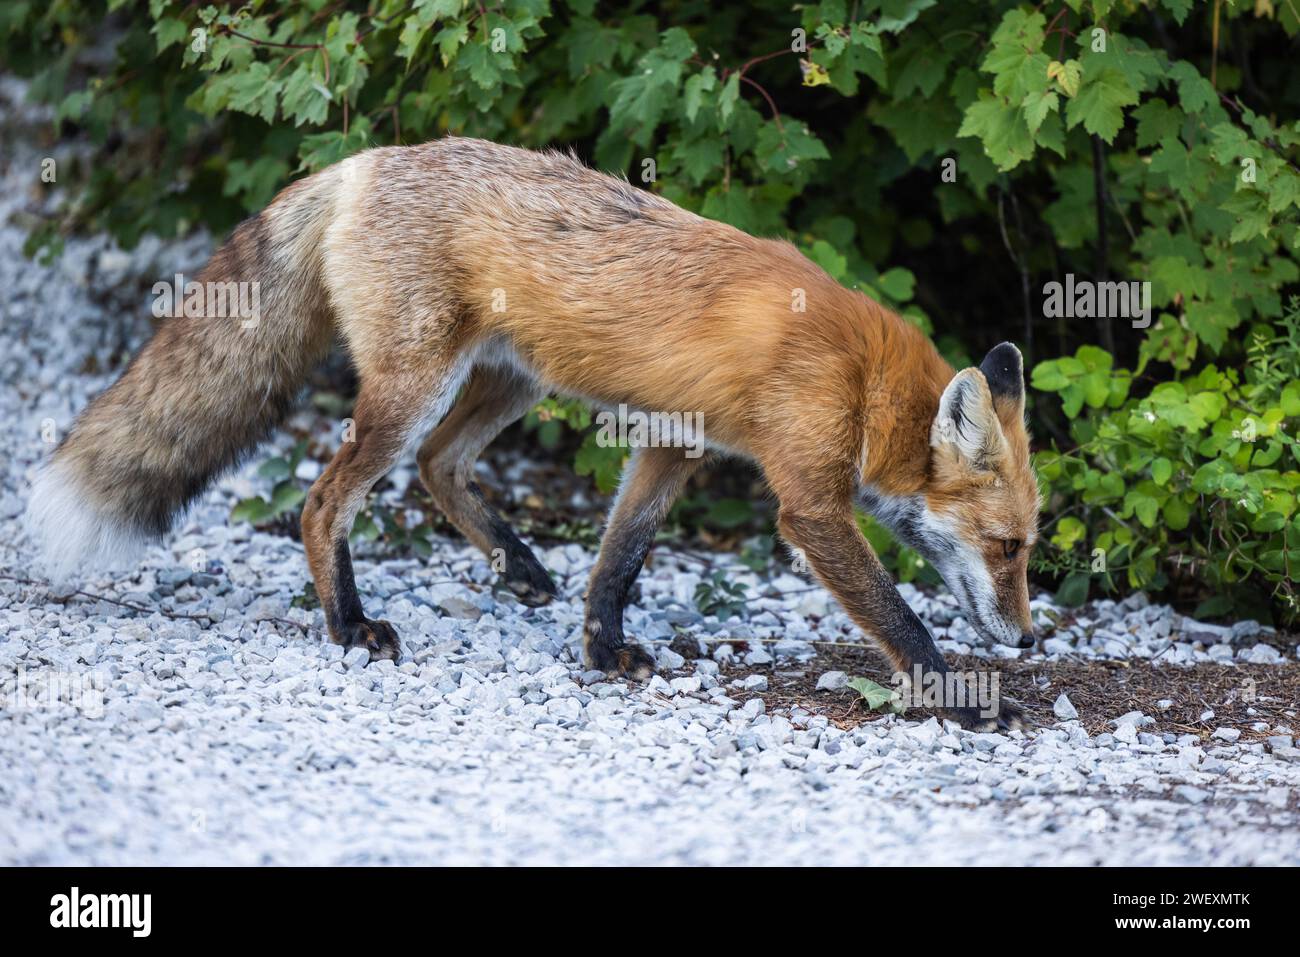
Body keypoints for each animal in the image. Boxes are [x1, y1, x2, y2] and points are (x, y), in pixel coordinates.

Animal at [26, 137, 1039, 730]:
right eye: (1011, 548)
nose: (1029, 641)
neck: (865, 384)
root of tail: (365, 157)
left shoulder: (674, 441)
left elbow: (620, 557)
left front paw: (600, 648)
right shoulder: (811, 505)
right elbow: (898, 614)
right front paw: (956, 694)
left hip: (508, 380)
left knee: (439, 467)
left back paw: (515, 564)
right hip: (415, 389)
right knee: (324, 498)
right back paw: (349, 622)